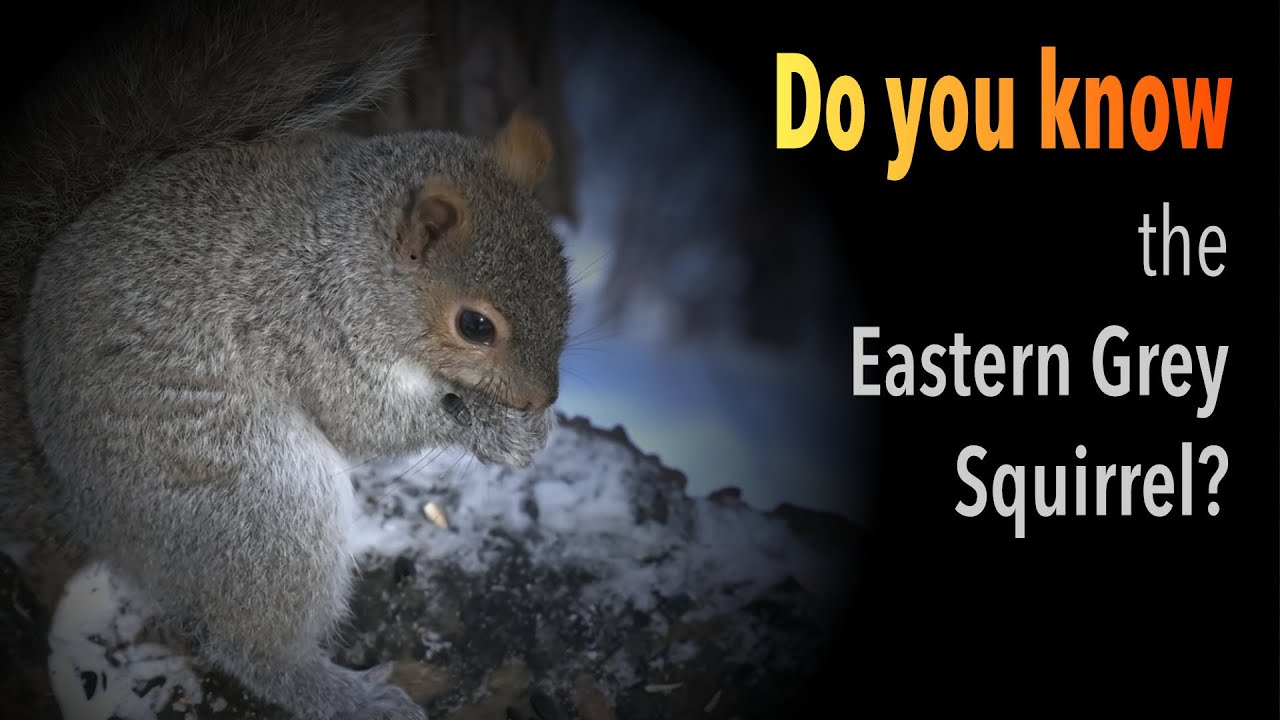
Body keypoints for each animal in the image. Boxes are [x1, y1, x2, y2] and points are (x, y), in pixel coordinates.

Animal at [0, 1, 570, 719]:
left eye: (565, 282)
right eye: (475, 326)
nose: (540, 398)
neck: (341, 255)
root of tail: (82, 511)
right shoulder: (304, 329)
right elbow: (363, 422)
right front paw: (497, 430)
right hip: (257, 499)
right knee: (254, 650)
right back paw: (346, 695)